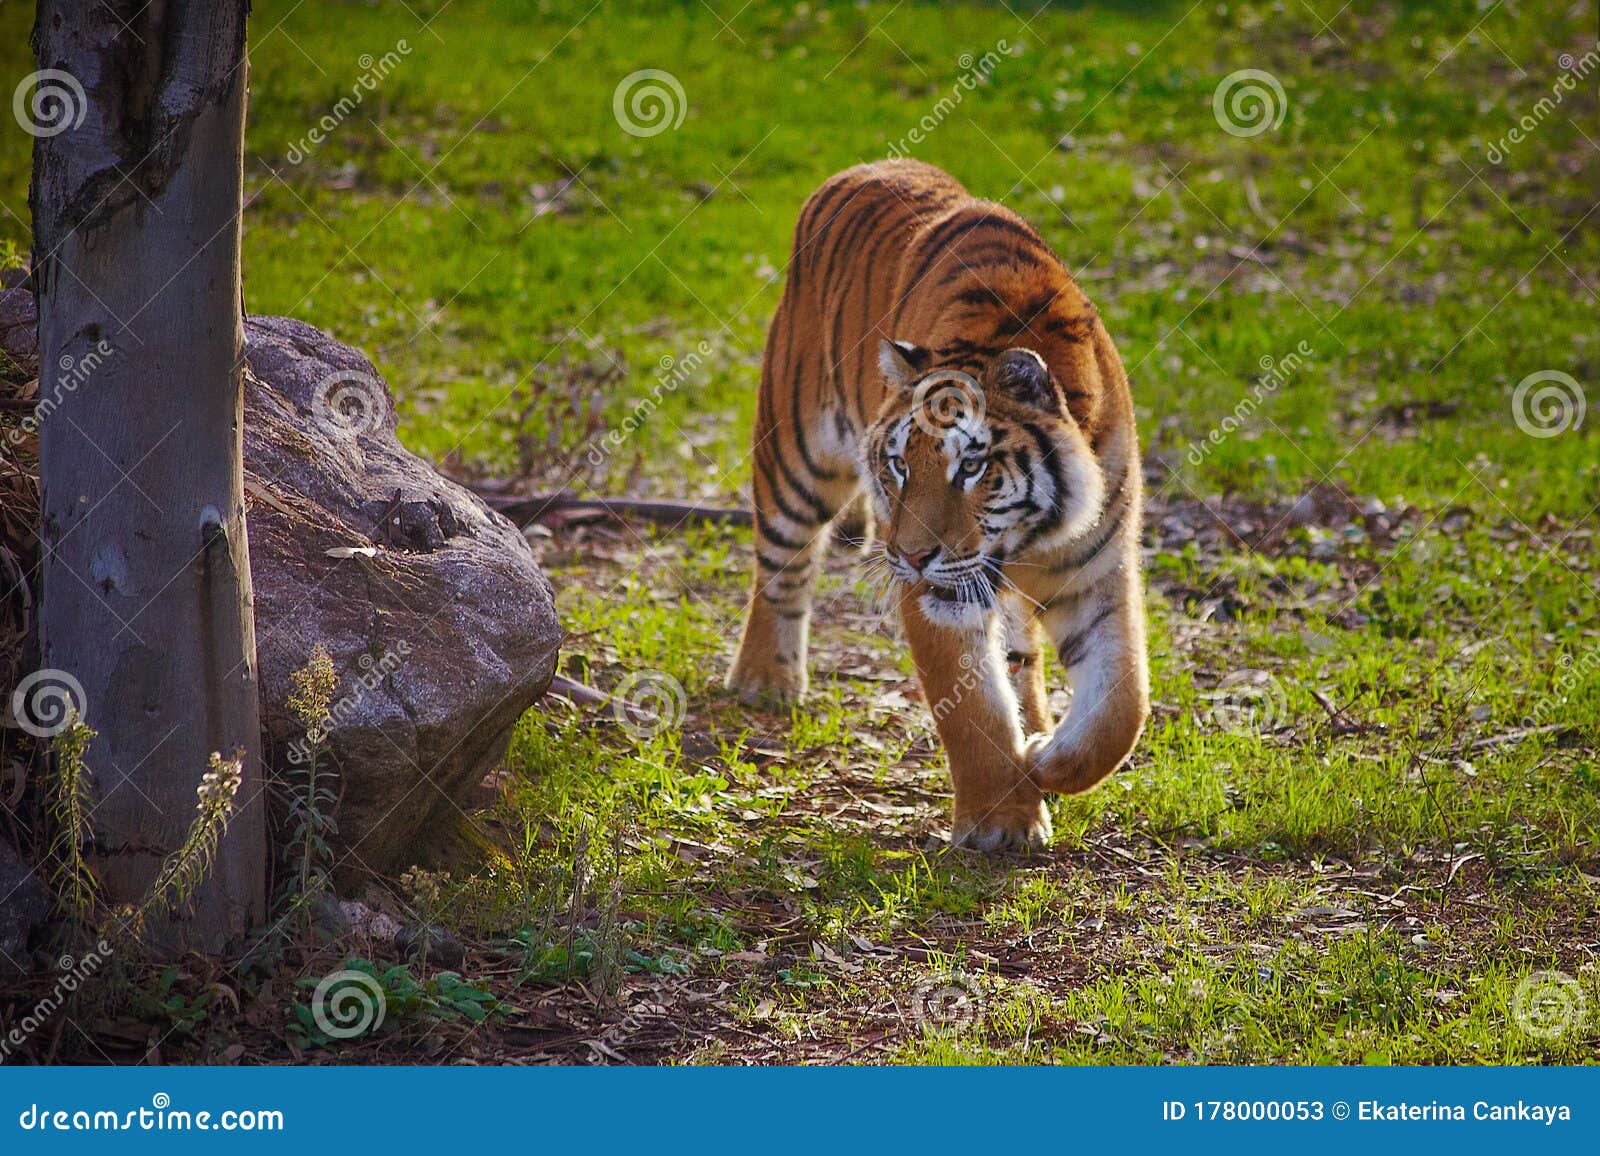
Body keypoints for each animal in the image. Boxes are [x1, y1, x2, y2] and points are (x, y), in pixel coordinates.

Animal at [727, 159, 1149, 852]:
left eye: (971, 467)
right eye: (901, 464)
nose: (909, 554)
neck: (1031, 538)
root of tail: (867, 166)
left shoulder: (1098, 570)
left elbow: (1122, 705)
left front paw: (1046, 755)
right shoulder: (941, 594)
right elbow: (972, 711)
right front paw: (1001, 823)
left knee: (1022, 653)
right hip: (796, 454)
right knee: (782, 566)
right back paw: (766, 680)